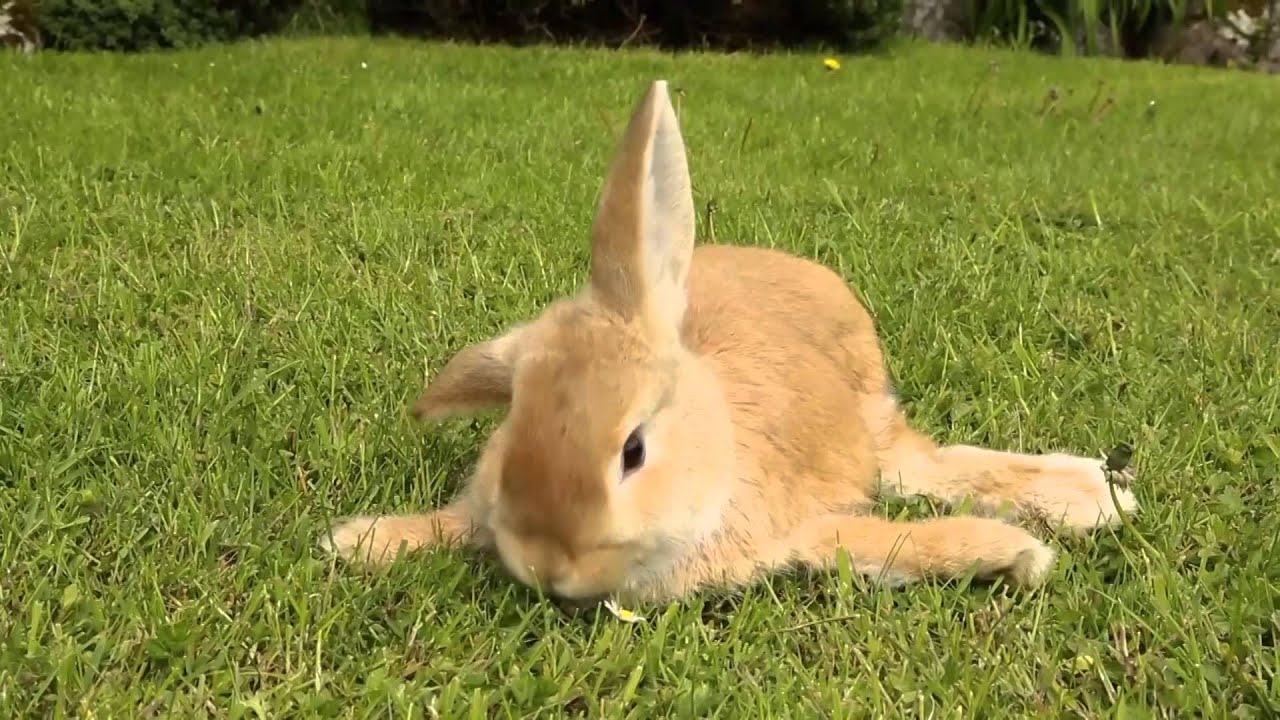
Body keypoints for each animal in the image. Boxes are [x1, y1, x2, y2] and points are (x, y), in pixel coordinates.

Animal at [320, 80, 1138, 608]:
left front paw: (1020, 557)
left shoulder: (804, 526)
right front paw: (357, 543)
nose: (550, 566)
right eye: (512, 424)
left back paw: (1094, 495)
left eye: (634, 450)